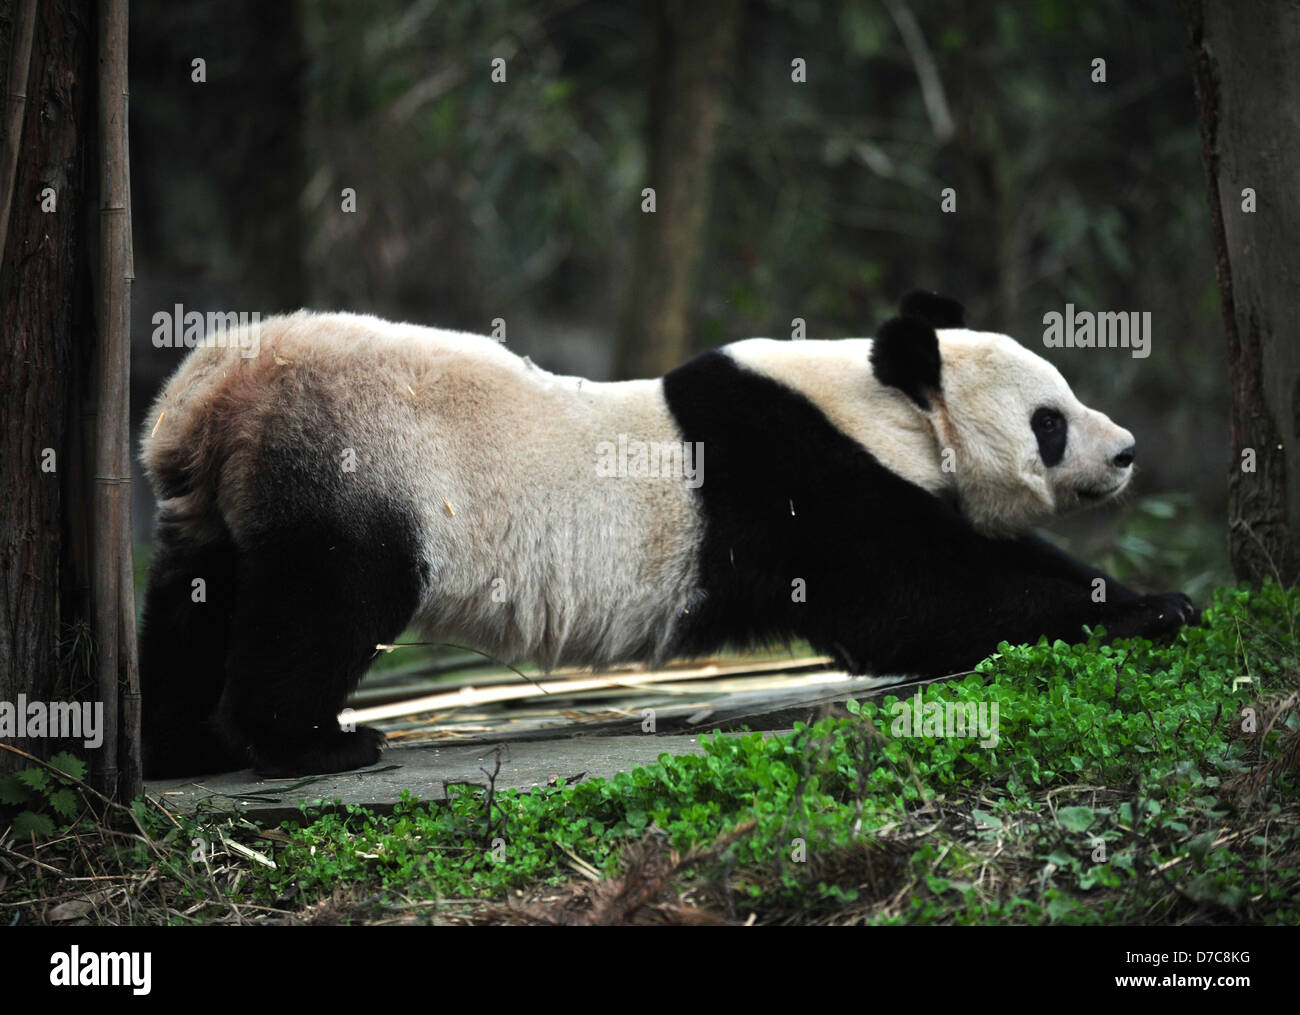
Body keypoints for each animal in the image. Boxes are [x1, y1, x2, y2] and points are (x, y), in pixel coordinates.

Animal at [139, 291, 1195, 778]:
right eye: (1050, 420)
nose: (1128, 450)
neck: (888, 404)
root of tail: (210, 396)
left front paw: (1155, 601)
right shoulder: (799, 476)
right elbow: (918, 597)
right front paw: (1147, 610)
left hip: (217, 502)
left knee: (197, 599)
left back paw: (187, 747)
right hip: (360, 469)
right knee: (321, 601)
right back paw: (312, 740)